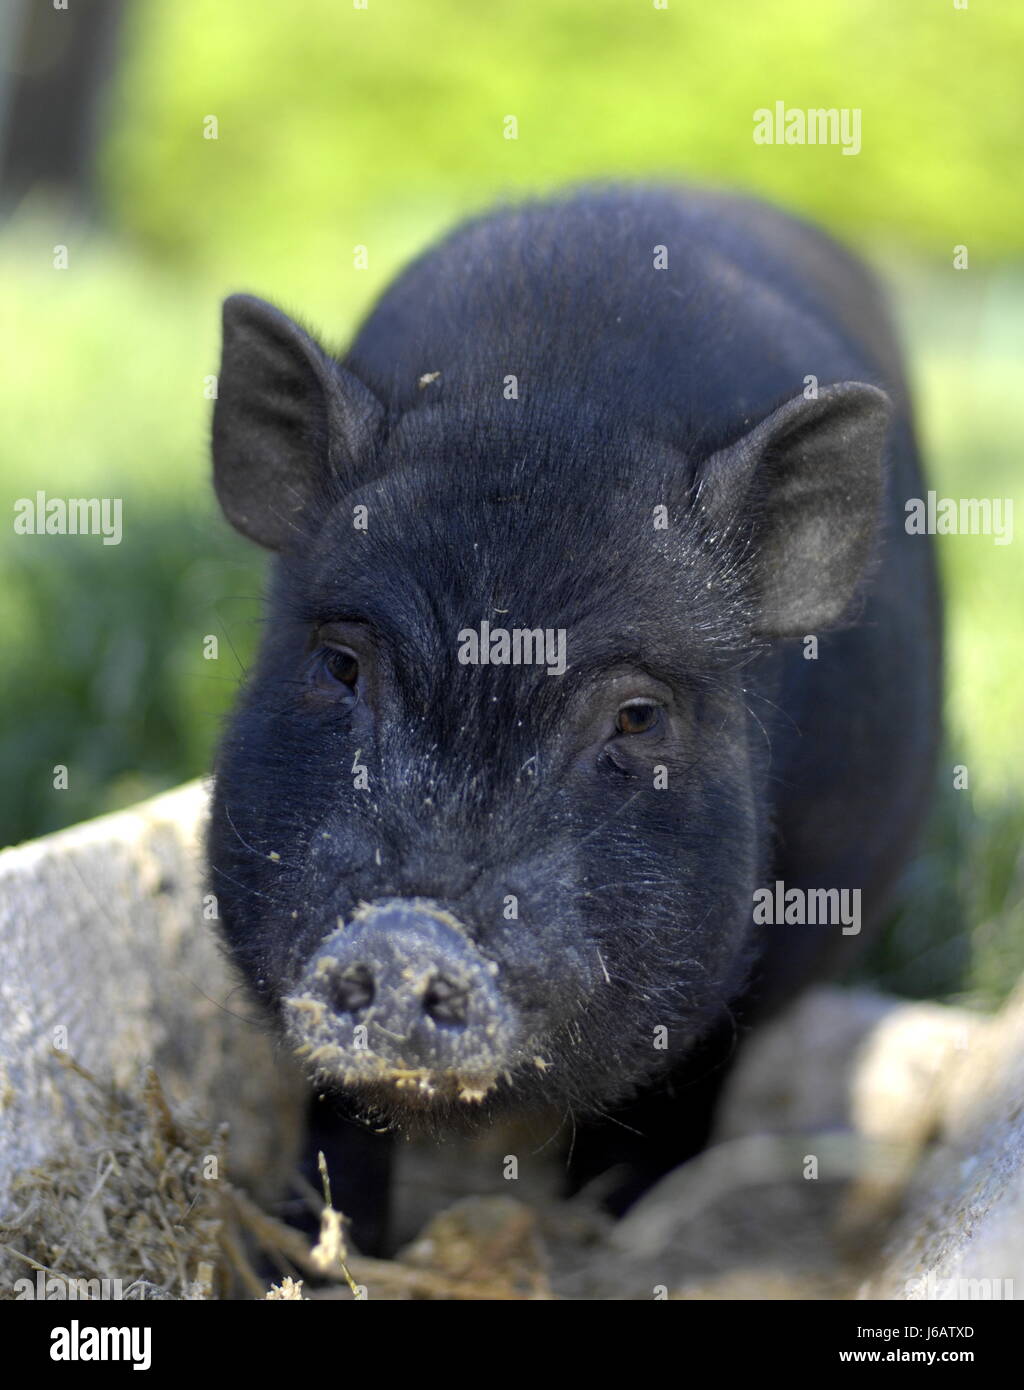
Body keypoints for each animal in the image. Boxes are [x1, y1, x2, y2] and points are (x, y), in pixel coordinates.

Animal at [207, 185, 941, 1254]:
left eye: (636, 718)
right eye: (341, 666)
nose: (409, 932)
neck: (557, 401)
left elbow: (686, 1083)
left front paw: (607, 1226)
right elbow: (340, 1115)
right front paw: (322, 1246)